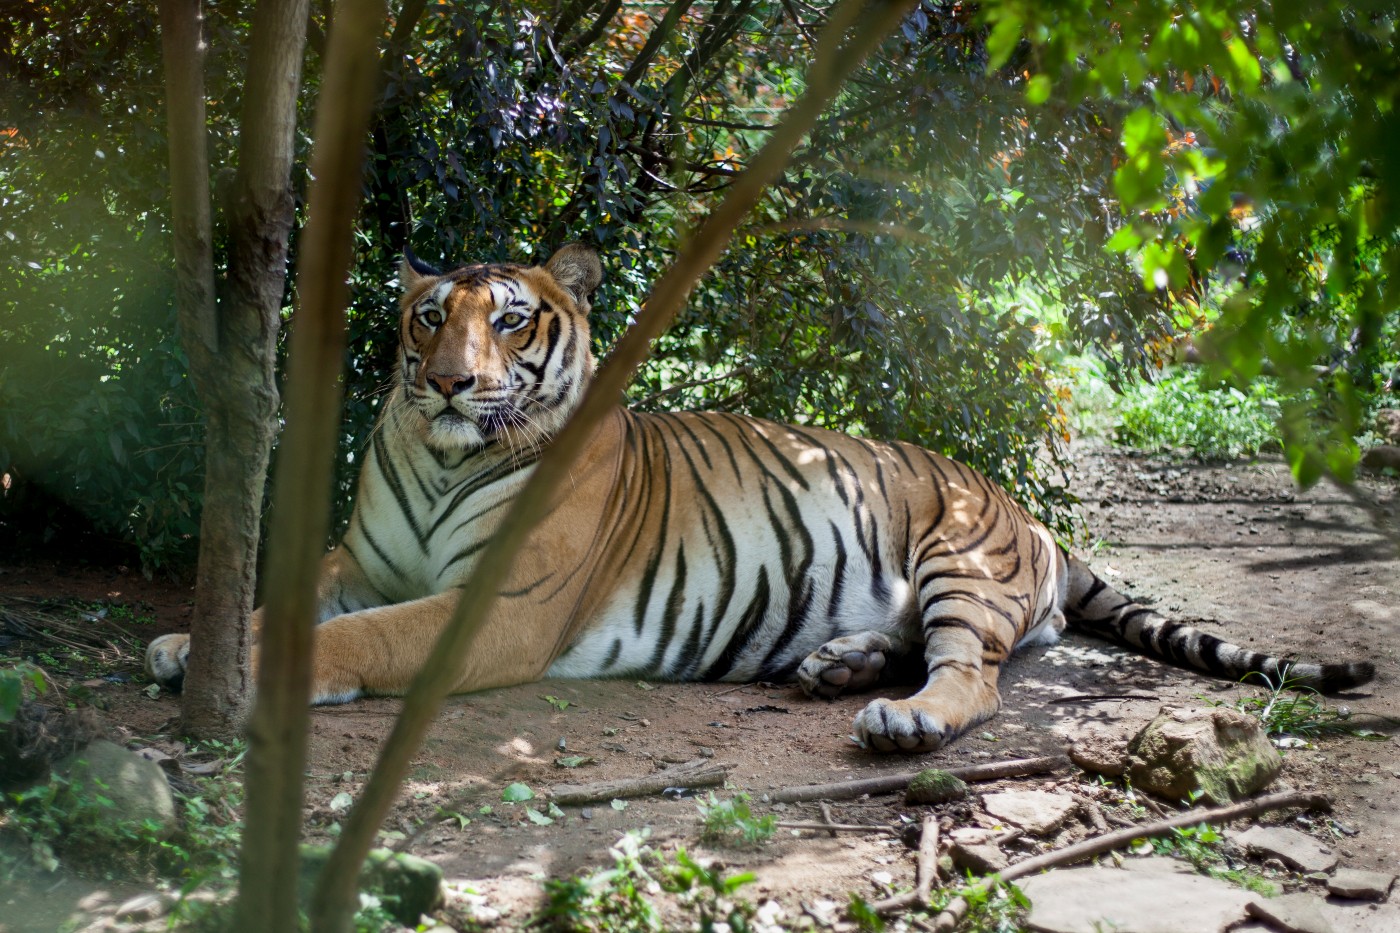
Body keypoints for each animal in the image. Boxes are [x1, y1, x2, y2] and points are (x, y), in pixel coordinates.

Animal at [145, 243, 1376, 752]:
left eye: (509, 319)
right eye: (426, 318)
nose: (448, 381)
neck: (446, 455)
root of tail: (1030, 512)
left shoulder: (493, 606)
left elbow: (356, 639)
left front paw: (241, 668)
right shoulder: (361, 562)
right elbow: (290, 595)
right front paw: (186, 642)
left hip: (957, 560)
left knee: (975, 675)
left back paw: (901, 717)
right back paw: (837, 664)